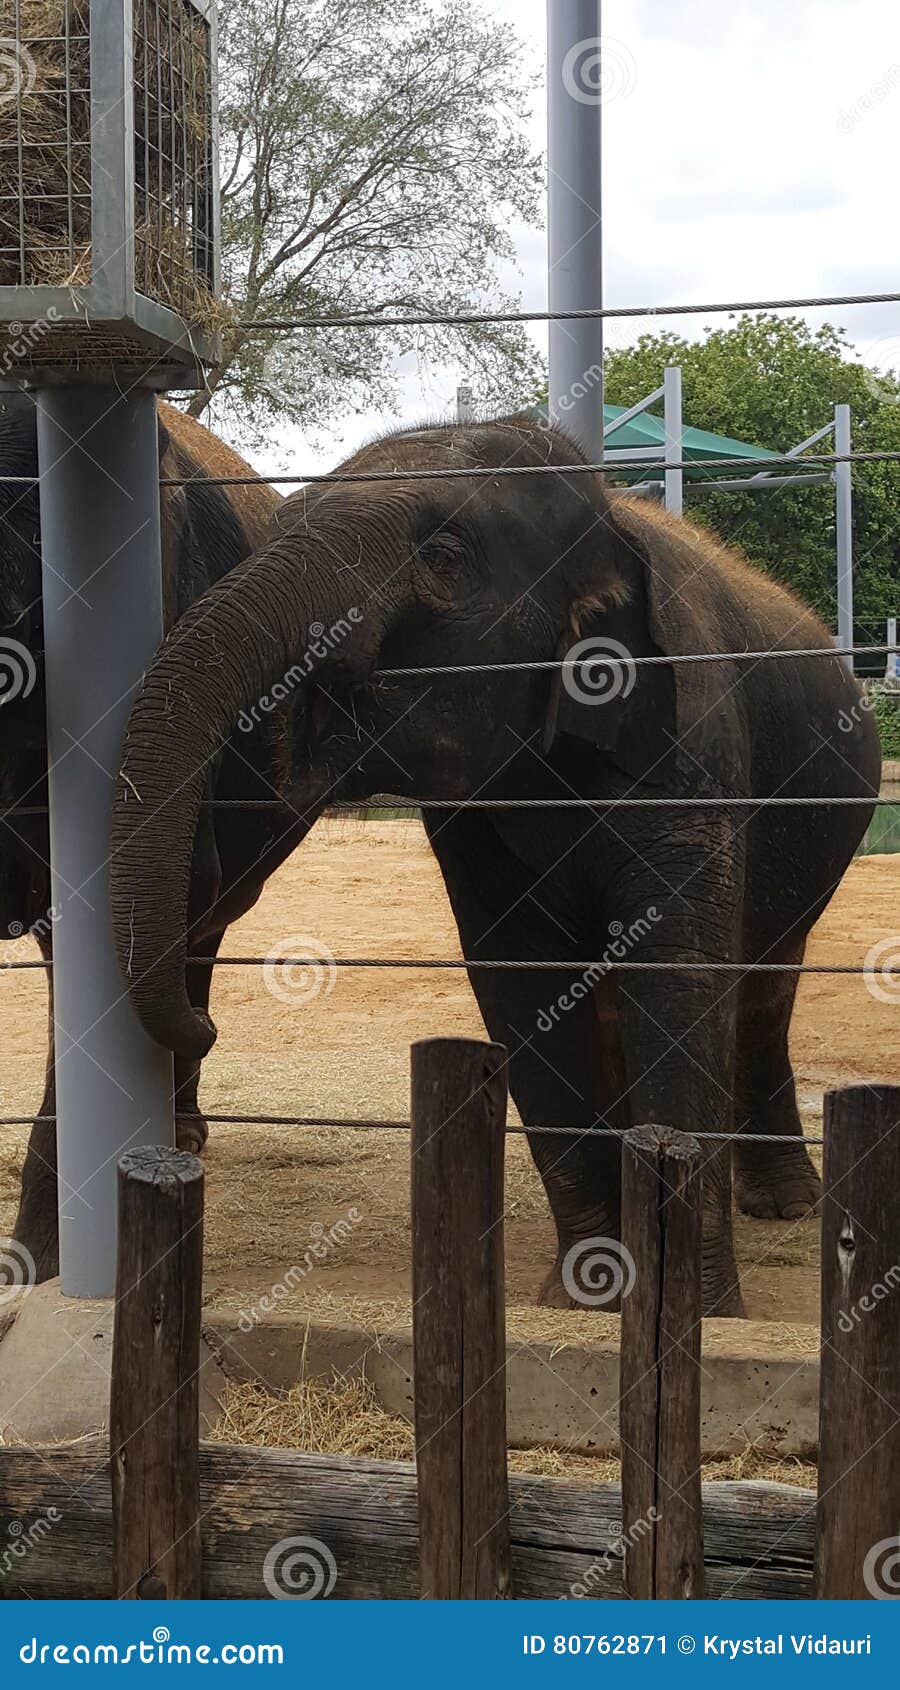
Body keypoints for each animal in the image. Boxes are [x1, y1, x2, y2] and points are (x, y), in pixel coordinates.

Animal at [108, 415, 880, 1316]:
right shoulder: (474, 818)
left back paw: (788, 1205)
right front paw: (584, 1295)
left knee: (762, 991)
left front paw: (703, 1311)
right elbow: (520, 979)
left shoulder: (696, 748)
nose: (204, 1028)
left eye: (443, 557)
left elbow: (678, 970)